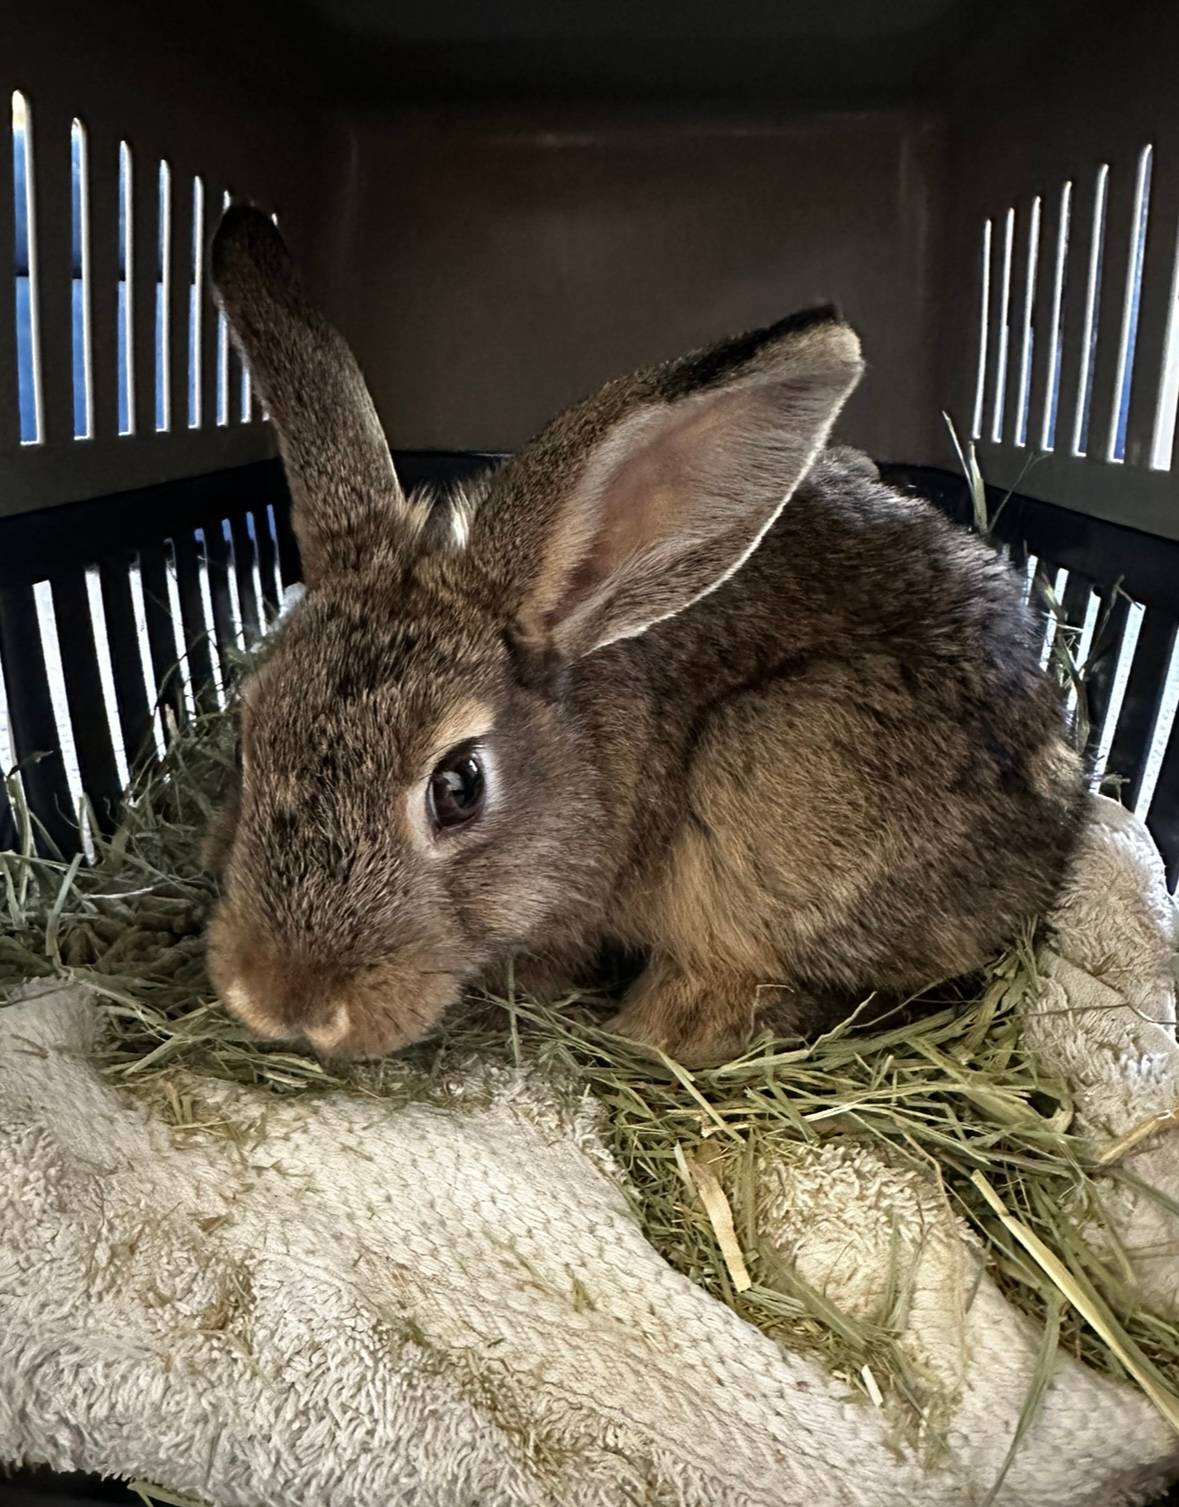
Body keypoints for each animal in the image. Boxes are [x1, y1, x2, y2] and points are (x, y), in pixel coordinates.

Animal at [204, 205, 1086, 1067]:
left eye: (458, 787)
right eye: (247, 740)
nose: (285, 1000)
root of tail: (1059, 815)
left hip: (774, 759)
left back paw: (658, 1028)